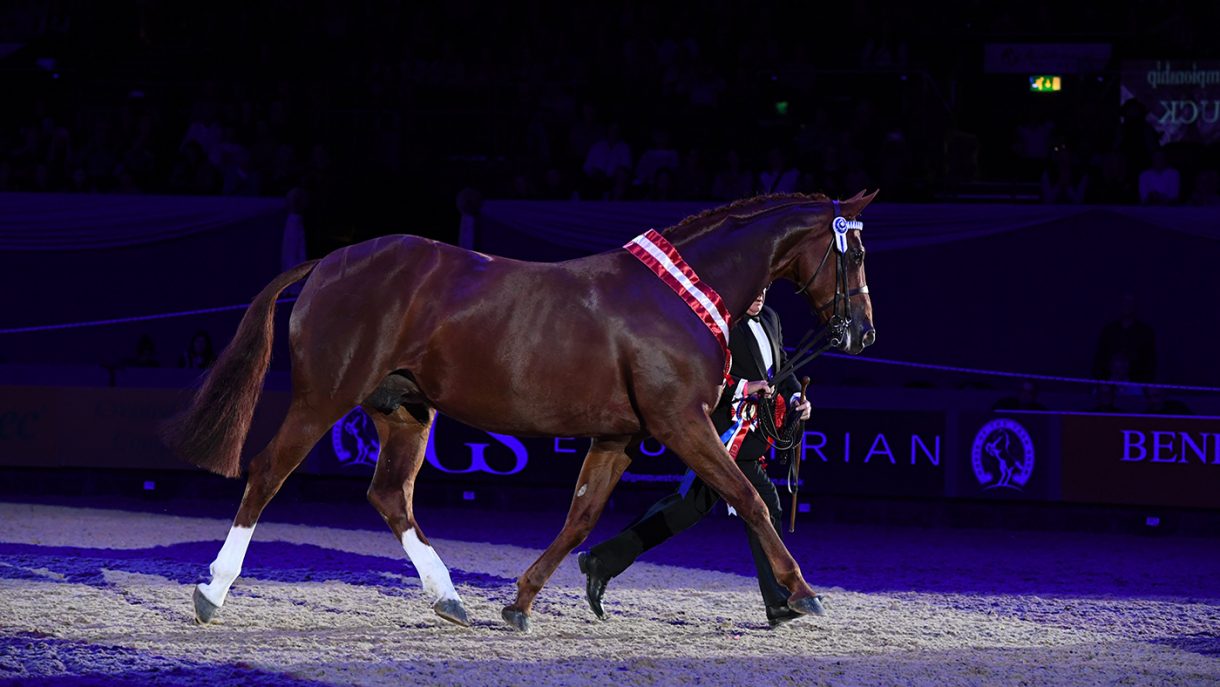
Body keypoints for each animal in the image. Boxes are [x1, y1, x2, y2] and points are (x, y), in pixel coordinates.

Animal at [162, 190, 877, 631]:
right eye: (856, 254)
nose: (864, 332)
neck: (677, 297)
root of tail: (331, 260)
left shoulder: (618, 437)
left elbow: (580, 519)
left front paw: (522, 602)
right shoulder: (681, 422)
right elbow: (750, 499)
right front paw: (804, 595)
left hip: (405, 410)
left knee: (390, 496)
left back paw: (450, 599)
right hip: (323, 399)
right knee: (267, 474)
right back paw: (211, 592)